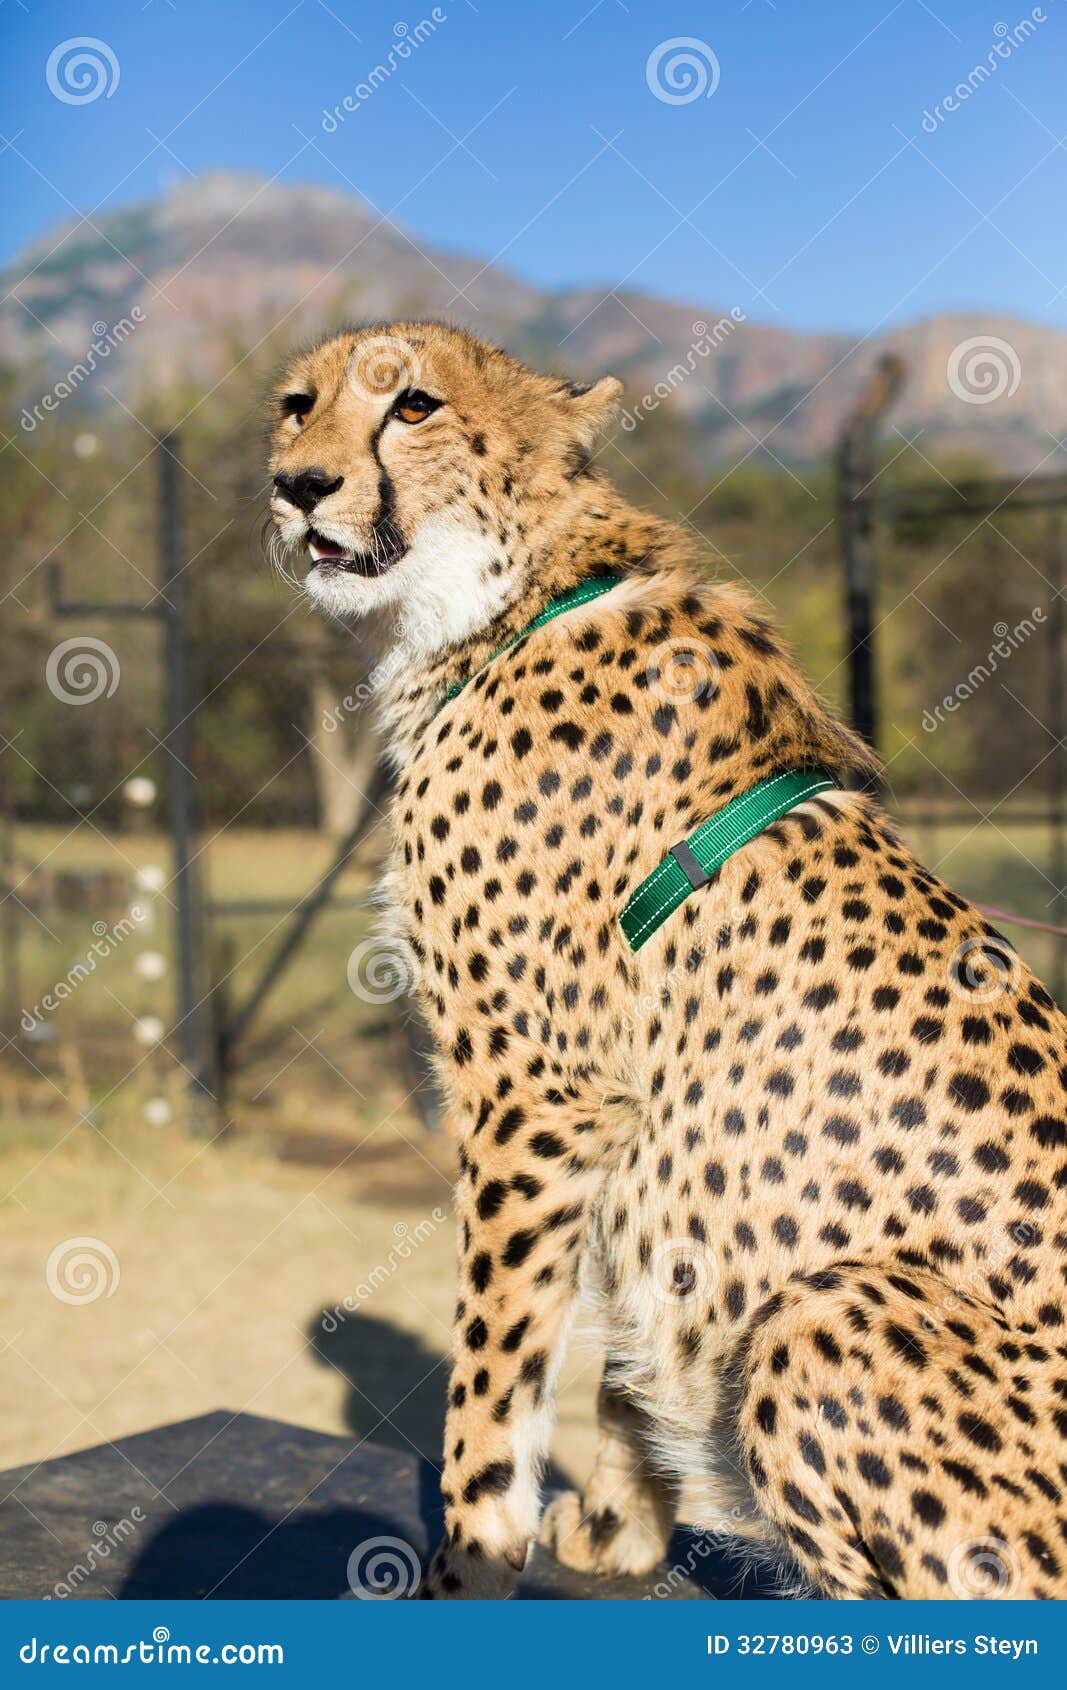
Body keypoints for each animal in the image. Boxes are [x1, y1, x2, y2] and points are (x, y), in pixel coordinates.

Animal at [267, 320, 1067, 1602]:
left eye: (414, 407)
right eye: (297, 406)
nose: (297, 485)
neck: (503, 597)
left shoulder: (534, 1093)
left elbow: (494, 1368)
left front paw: (470, 1559)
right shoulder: (621, 1136)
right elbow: (624, 1324)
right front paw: (615, 1523)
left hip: (825, 1310)